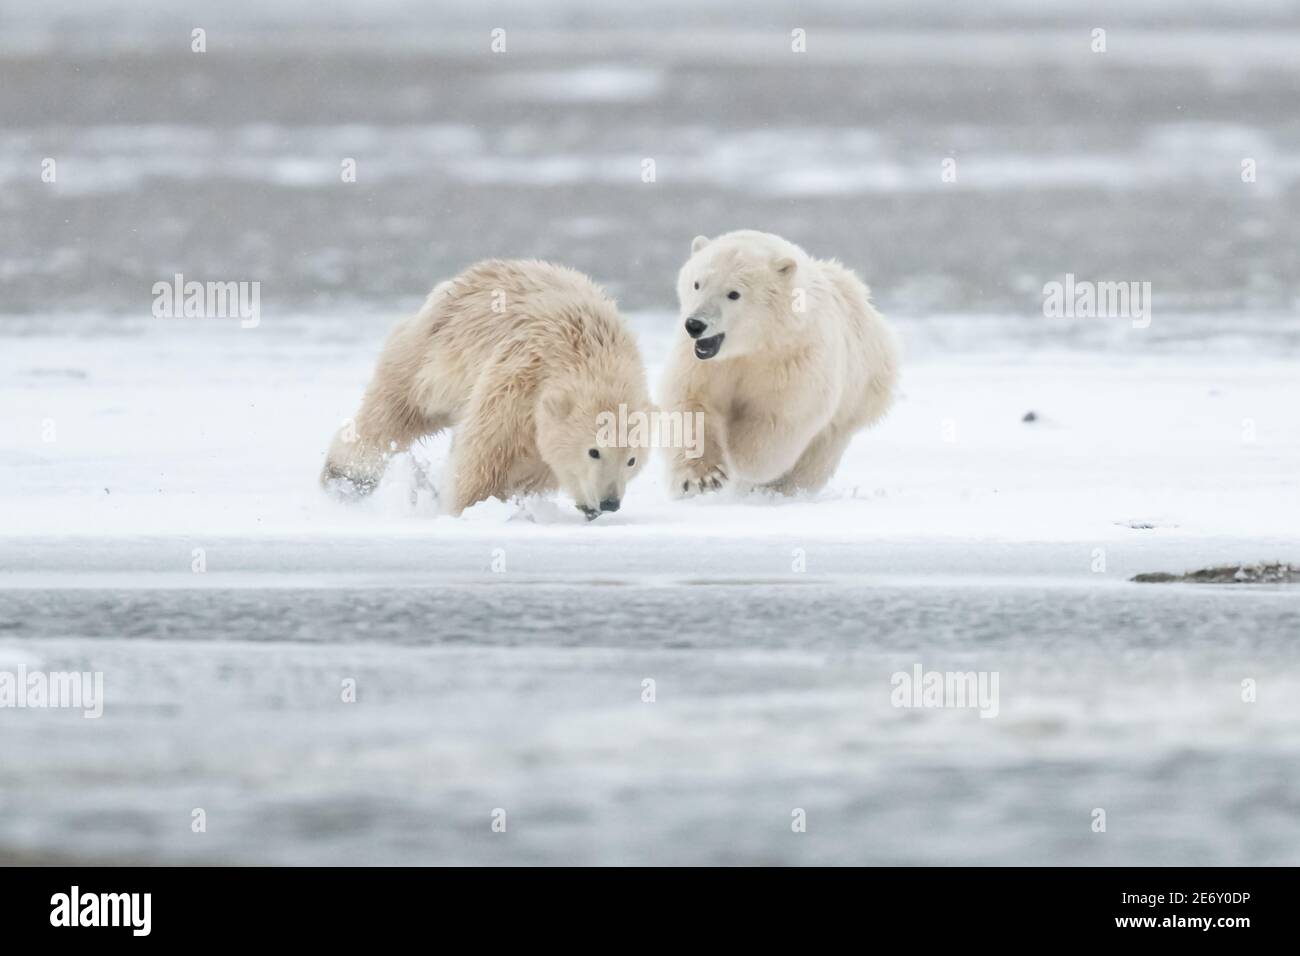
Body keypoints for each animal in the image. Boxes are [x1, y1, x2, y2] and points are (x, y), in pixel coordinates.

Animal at [320, 259, 651, 519]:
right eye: (594, 451)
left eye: (632, 459)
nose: (609, 503)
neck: (590, 353)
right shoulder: (518, 380)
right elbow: (486, 453)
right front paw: (470, 508)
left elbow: (542, 465)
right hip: (430, 354)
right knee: (392, 410)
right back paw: (345, 477)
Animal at [659, 230, 899, 497]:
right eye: (697, 283)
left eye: (734, 293)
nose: (695, 324)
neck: (756, 343)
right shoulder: (703, 363)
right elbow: (690, 401)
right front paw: (703, 478)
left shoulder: (794, 359)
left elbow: (780, 417)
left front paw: (740, 458)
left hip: (857, 398)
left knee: (816, 458)